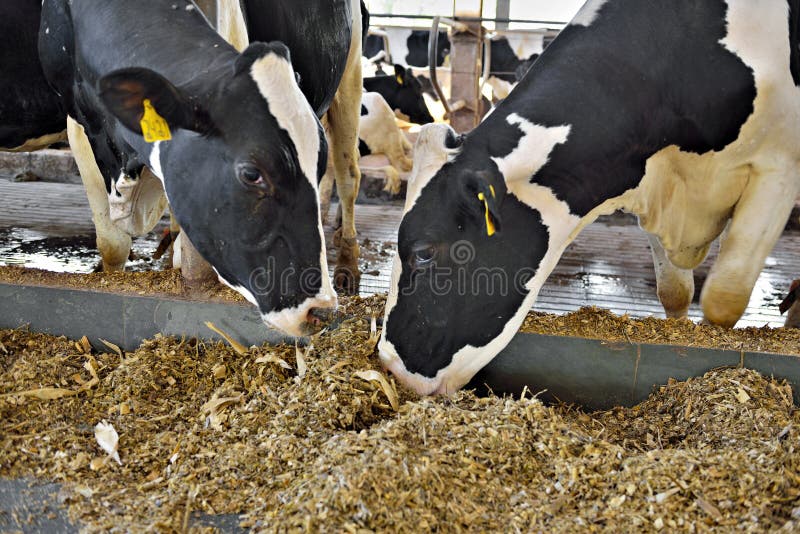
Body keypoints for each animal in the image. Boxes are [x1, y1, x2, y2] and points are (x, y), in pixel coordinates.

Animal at [33, 0, 355, 337]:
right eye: (251, 174)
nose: (320, 310)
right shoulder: (81, 125)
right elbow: (112, 245)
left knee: (349, 178)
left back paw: (348, 265)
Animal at [378, 0, 800, 396]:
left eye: (423, 253)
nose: (390, 365)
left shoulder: (779, 170)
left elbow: (723, 299)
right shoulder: (652, 180)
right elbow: (675, 292)